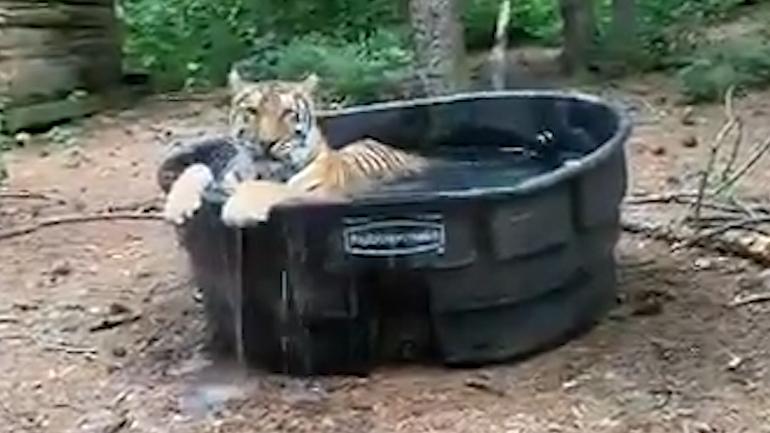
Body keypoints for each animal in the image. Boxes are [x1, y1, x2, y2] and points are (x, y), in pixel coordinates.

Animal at [219, 69, 429, 227]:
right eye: (252, 111)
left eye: (287, 112)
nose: (266, 142)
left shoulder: (315, 193)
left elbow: (271, 188)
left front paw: (238, 209)